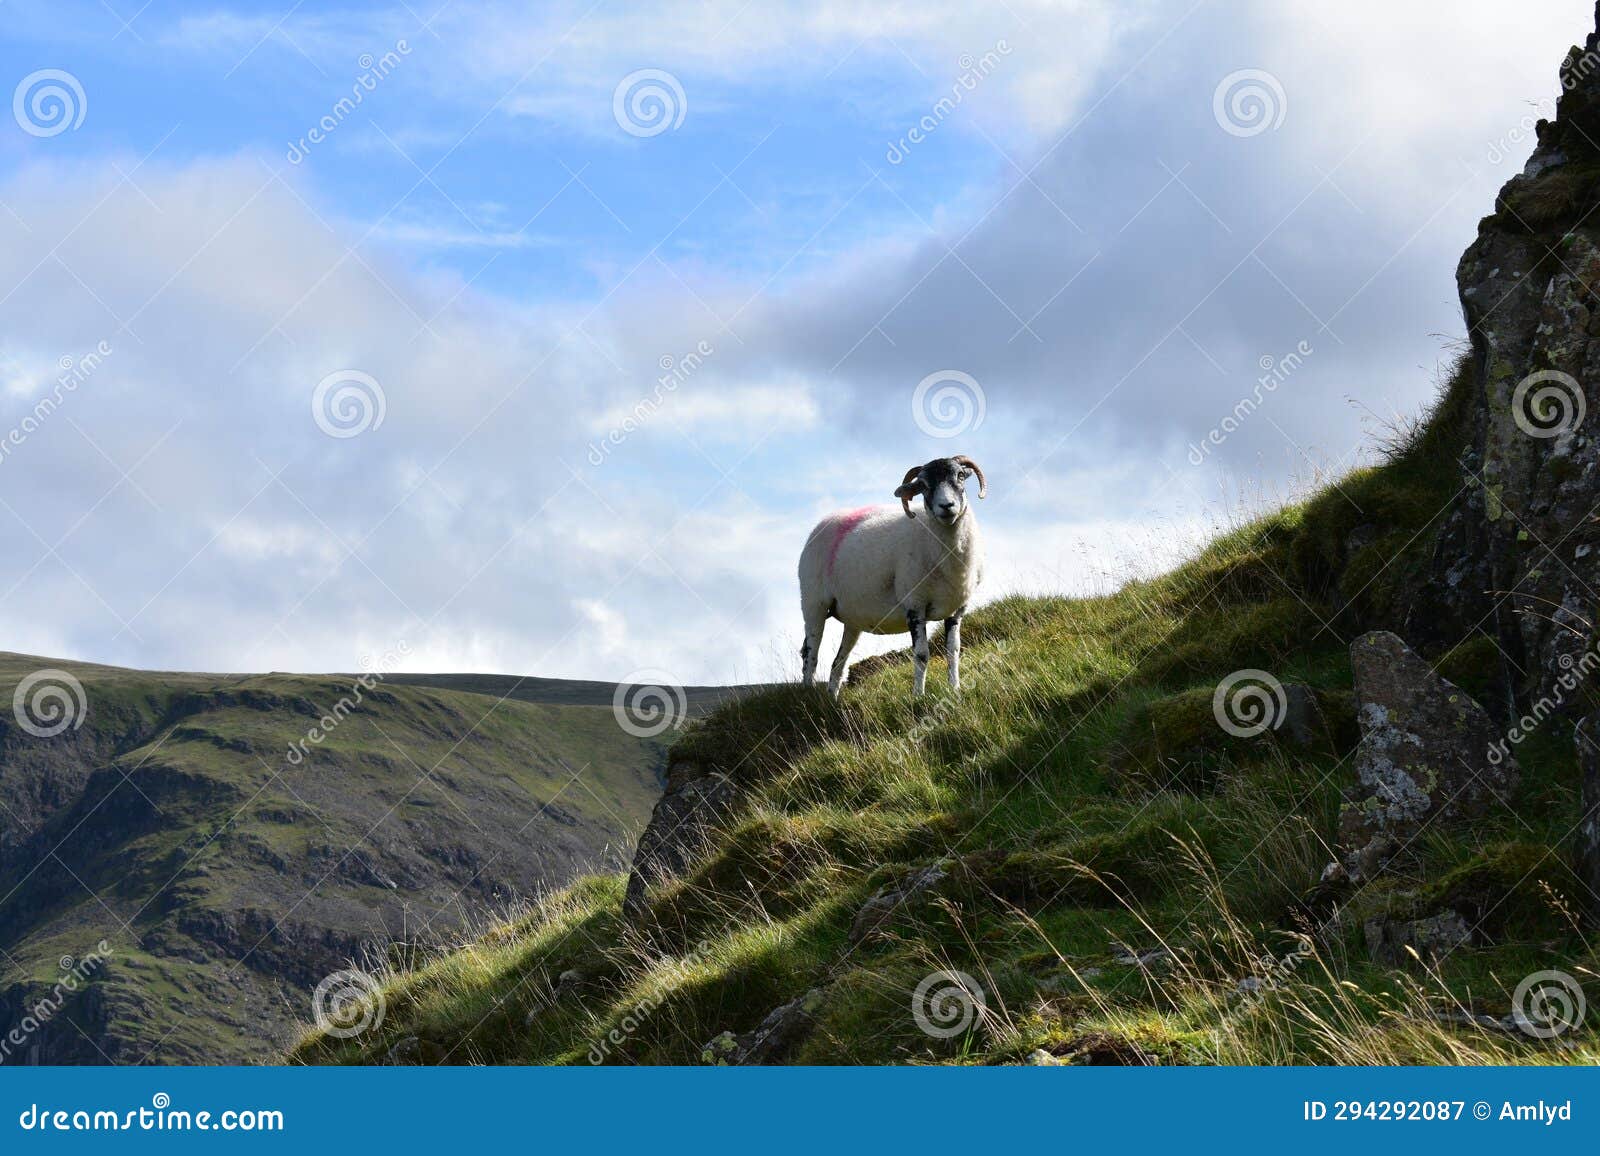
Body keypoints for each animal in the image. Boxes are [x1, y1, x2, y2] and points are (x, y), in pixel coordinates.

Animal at [798, 455, 986, 698]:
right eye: (923, 485)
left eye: (960, 475)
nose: (947, 506)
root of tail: (822, 523)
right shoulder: (915, 605)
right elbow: (922, 654)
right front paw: (918, 696)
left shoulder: (957, 610)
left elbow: (953, 651)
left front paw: (955, 690)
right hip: (813, 603)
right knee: (810, 655)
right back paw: (808, 695)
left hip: (851, 618)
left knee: (837, 663)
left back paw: (831, 700)